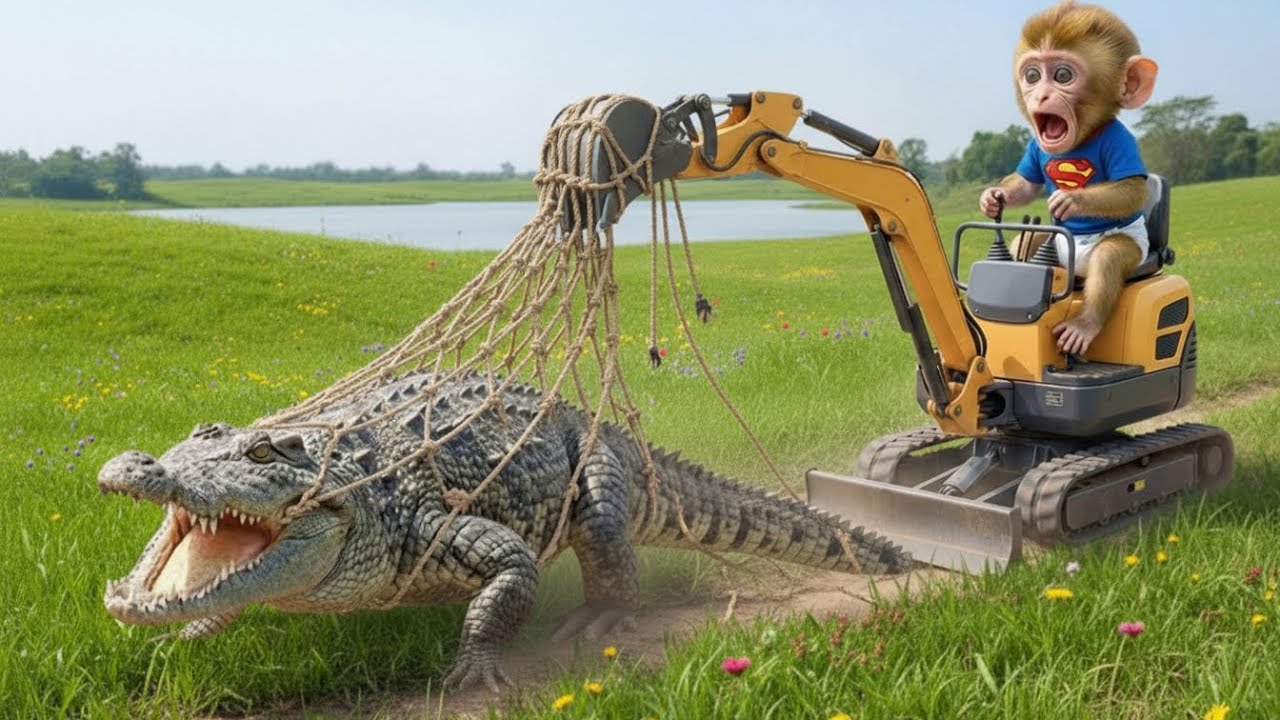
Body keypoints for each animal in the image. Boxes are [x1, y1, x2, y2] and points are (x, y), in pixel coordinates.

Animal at [979, 1, 1158, 357]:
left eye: (1063, 76)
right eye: (1032, 76)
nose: (1041, 96)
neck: (1080, 141)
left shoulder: (1119, 142)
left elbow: (1131, 188)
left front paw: (1069, 198)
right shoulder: (1035, 149)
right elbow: (1026, 182)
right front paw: (991, 198)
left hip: (1130, 250)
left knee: (1109, 259)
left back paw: (1081, 327)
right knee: (1027, 241)